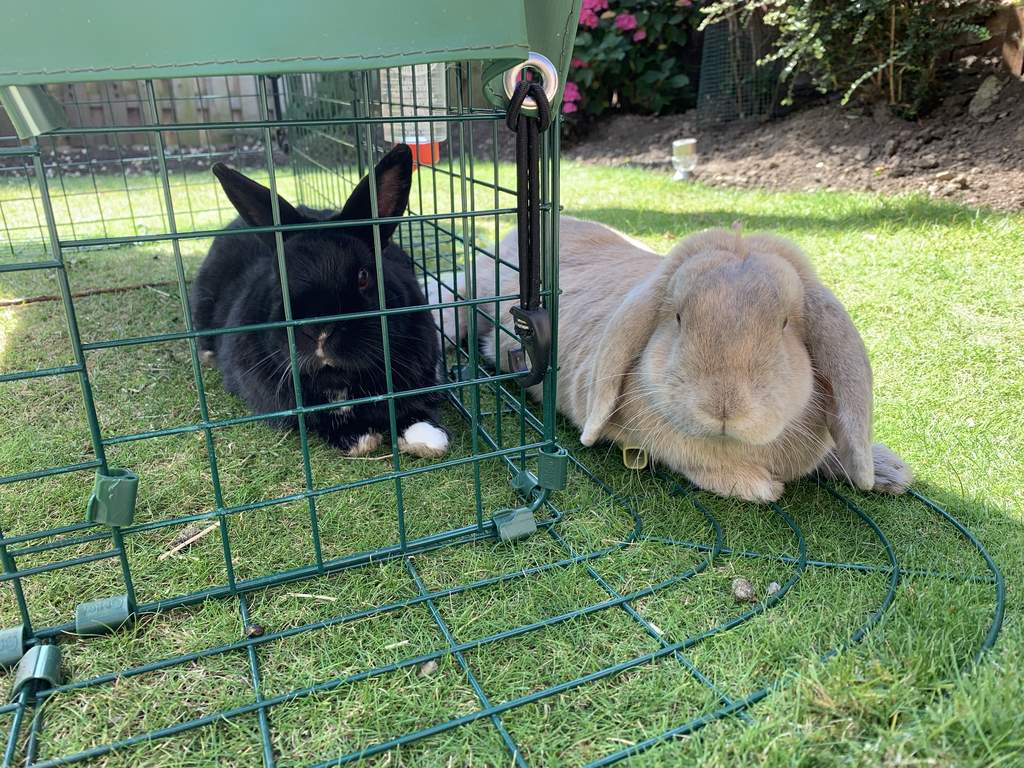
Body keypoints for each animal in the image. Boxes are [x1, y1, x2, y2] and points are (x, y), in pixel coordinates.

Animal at [189, 144, 448, 459]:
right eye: (278, 278)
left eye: (364, 276)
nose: (319, 330)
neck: (338, 377)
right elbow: (321, 419)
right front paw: (359, 438)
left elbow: (414, 409)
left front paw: (428, 439)